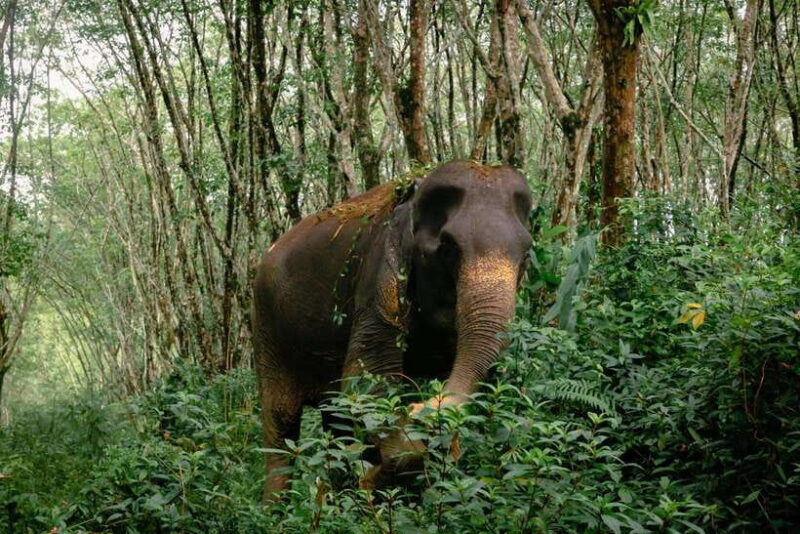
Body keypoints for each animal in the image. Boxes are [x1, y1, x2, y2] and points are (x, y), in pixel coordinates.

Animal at [252, 160, 532, 498]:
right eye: (447, 248)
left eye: (526, 254)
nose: (420, 405)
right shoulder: (378, 275)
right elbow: (364, 377)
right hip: (267, 329)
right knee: (281, 421)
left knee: (336, 416)